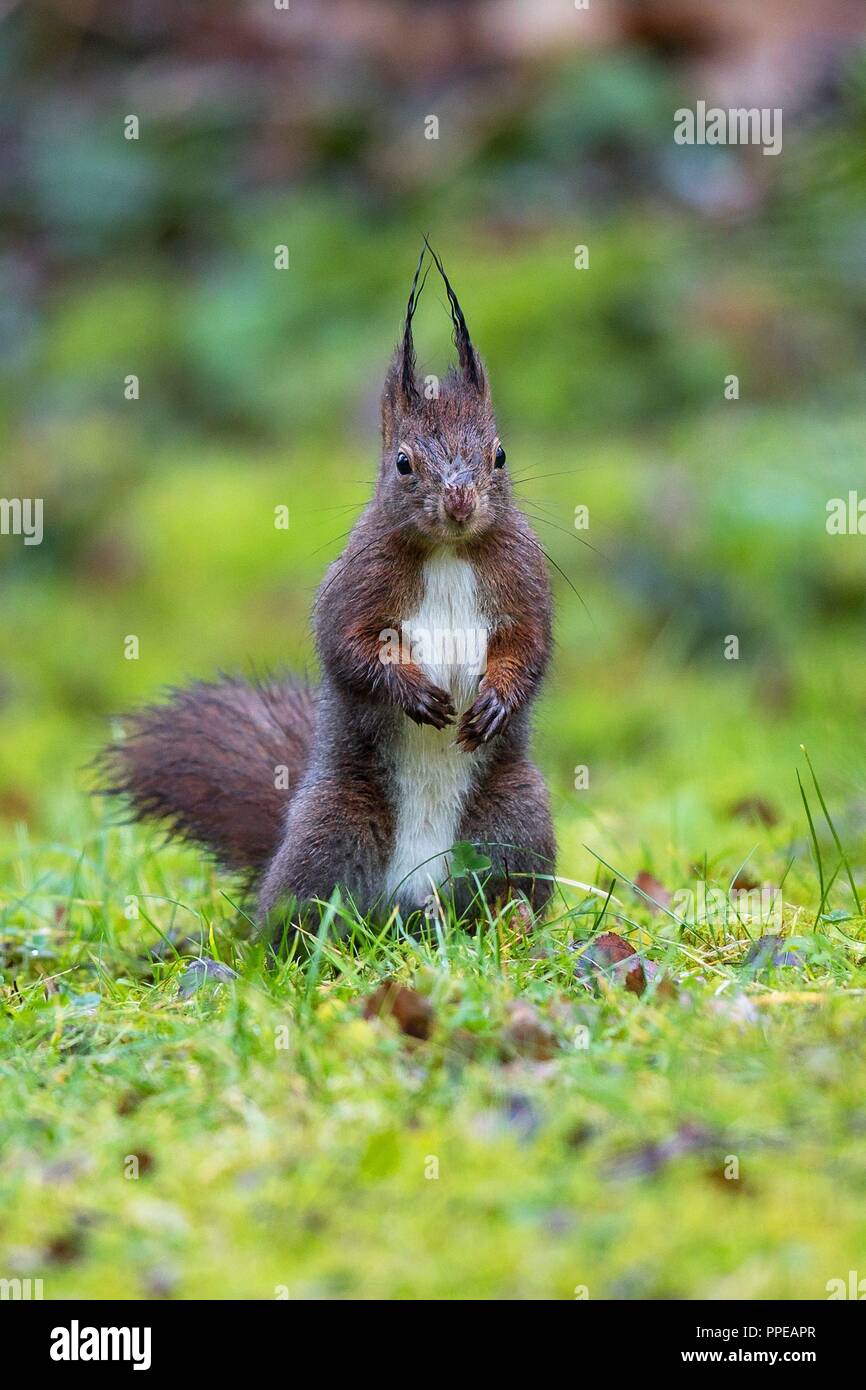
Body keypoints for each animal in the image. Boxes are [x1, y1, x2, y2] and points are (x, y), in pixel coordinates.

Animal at [102, 243, 555, 936]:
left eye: (499, 456)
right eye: (403, 462)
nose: (459, 501)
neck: (450, 551)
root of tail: (409, 902)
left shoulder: (524, 580)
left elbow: (528, 645)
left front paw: (497, 703)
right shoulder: (355, 584)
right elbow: (347, 646)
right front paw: (411, 692)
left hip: (518, 818)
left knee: (506, 882)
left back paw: (509, 923)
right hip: (332, 829)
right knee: (299, 904)